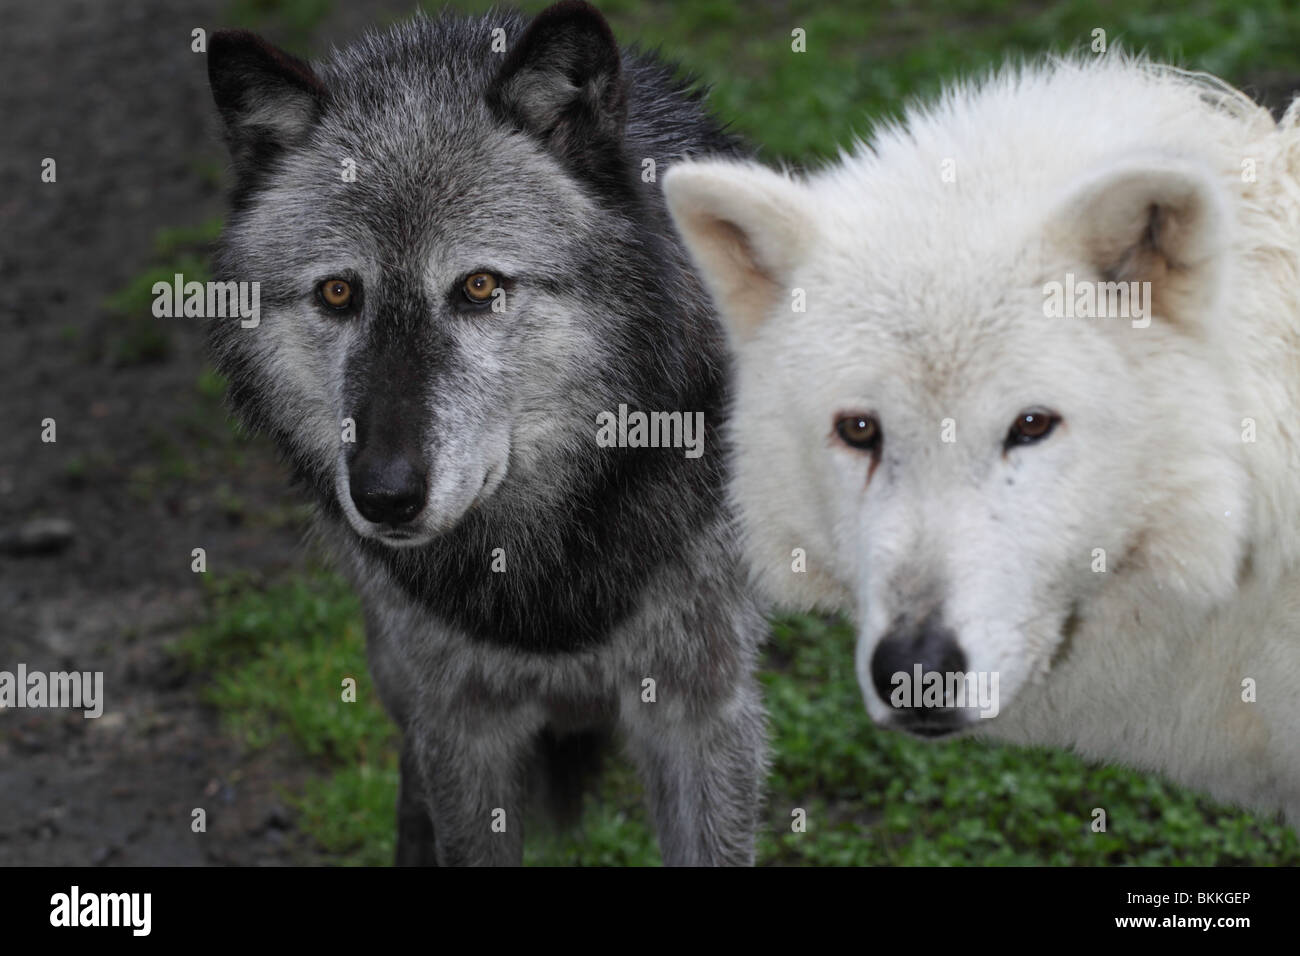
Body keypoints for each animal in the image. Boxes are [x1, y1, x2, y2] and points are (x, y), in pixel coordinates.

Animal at [206, 1, 768, 865]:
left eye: (478, 286)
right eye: (338, 294)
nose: (385, 495)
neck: (544, 562)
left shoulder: (705, 710)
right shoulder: (461, 721)